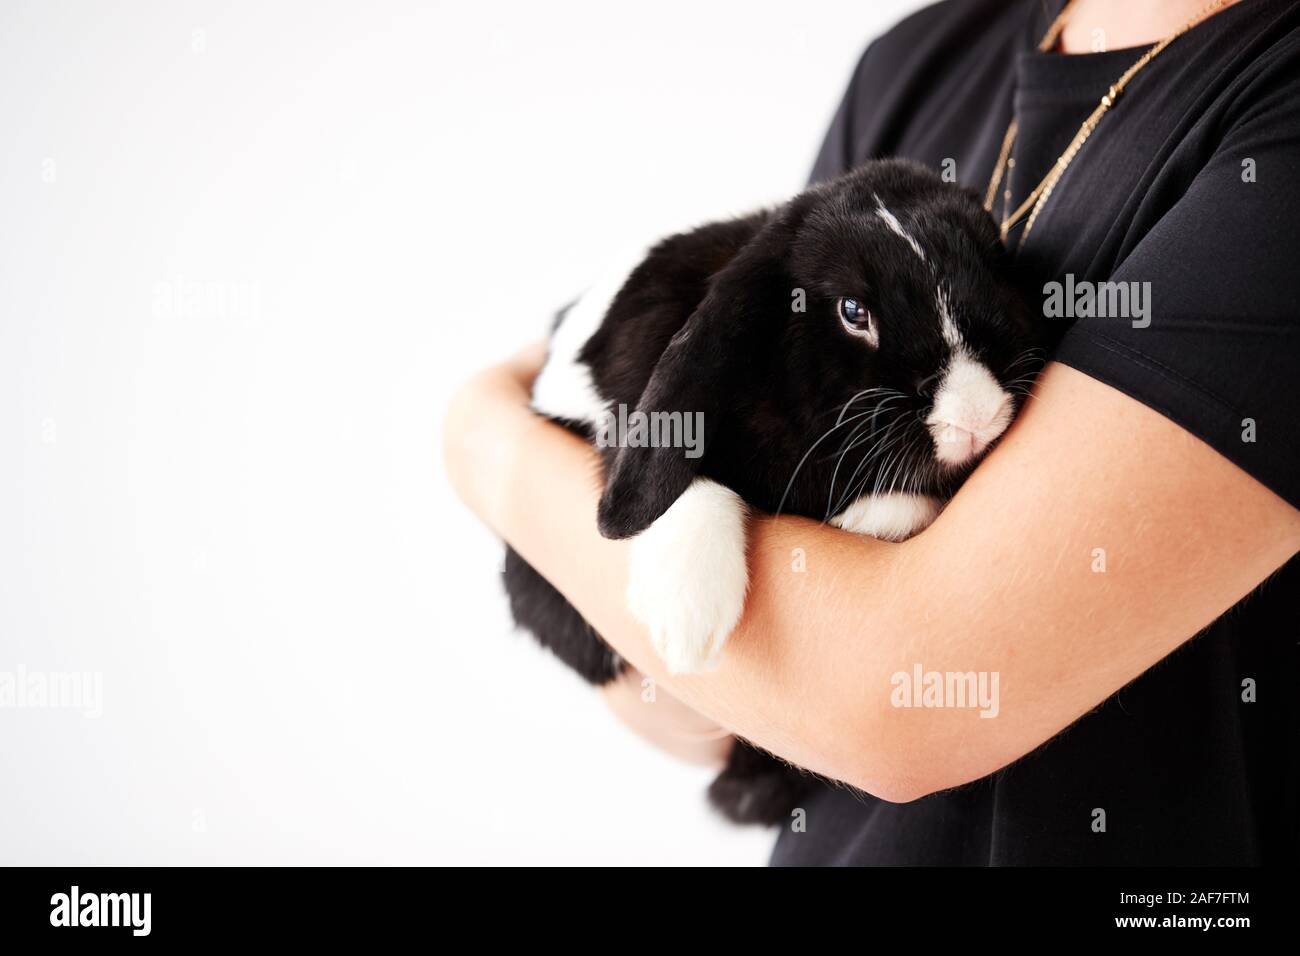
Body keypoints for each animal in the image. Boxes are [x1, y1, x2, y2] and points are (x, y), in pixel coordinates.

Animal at [502, 159, 1042, 825]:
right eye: (852, 311)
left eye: (992, 272)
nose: (976, 416)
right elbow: (681, 476)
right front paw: (687, 621)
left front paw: (874, 517)